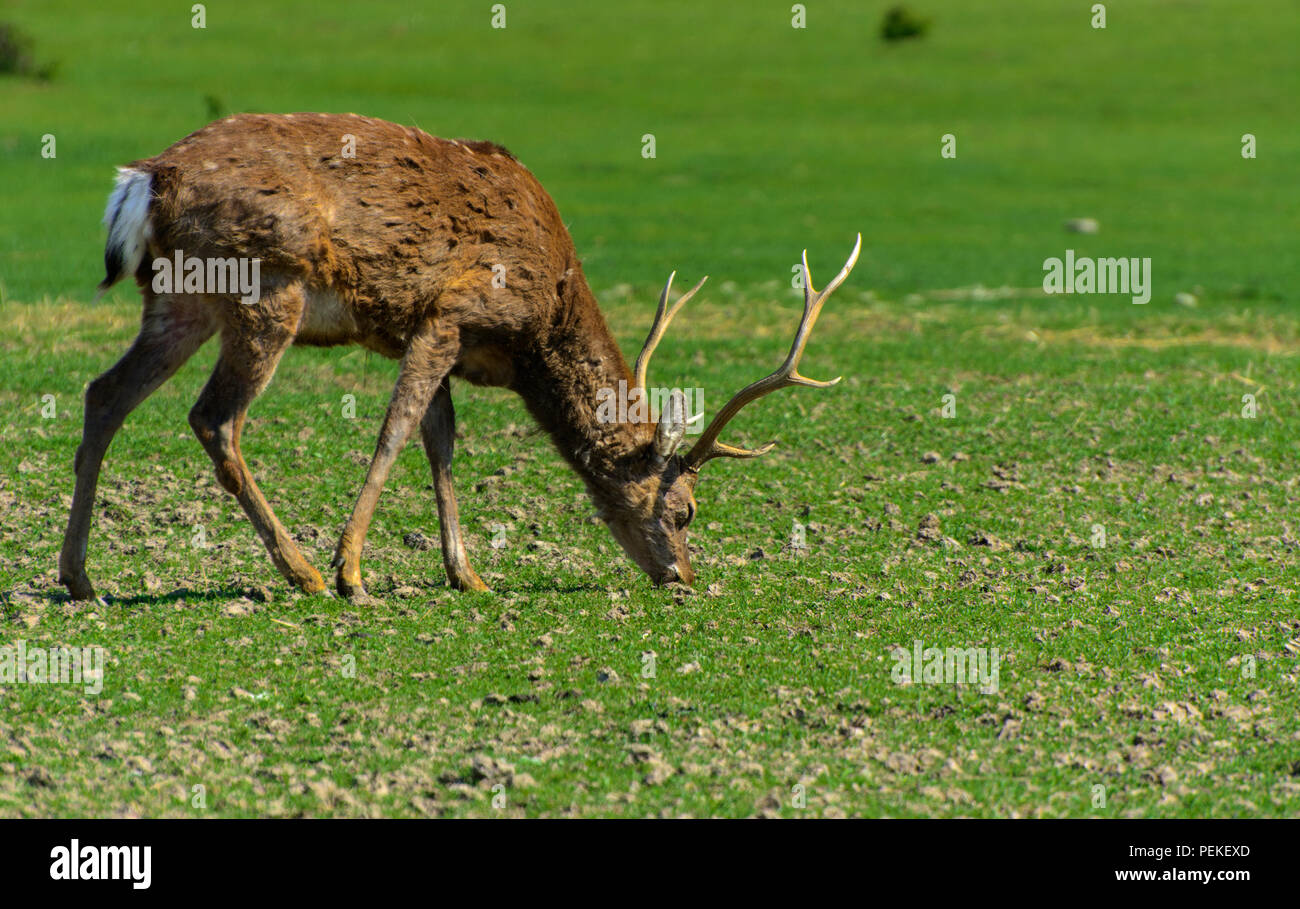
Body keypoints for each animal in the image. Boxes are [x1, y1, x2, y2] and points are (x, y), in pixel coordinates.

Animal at [58, 113, 860, 602]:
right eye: (687, 510)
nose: (684, 577)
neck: (538, 324)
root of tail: (142, 182)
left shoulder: (435, 338)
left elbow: (440, 443)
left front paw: (465, 573)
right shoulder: (450, 312)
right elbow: (396, 431)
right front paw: (354, 571)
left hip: (180, 300)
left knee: (105, 393)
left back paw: (79, 577)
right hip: (265, 287)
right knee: (214, 418)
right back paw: (305, 572)